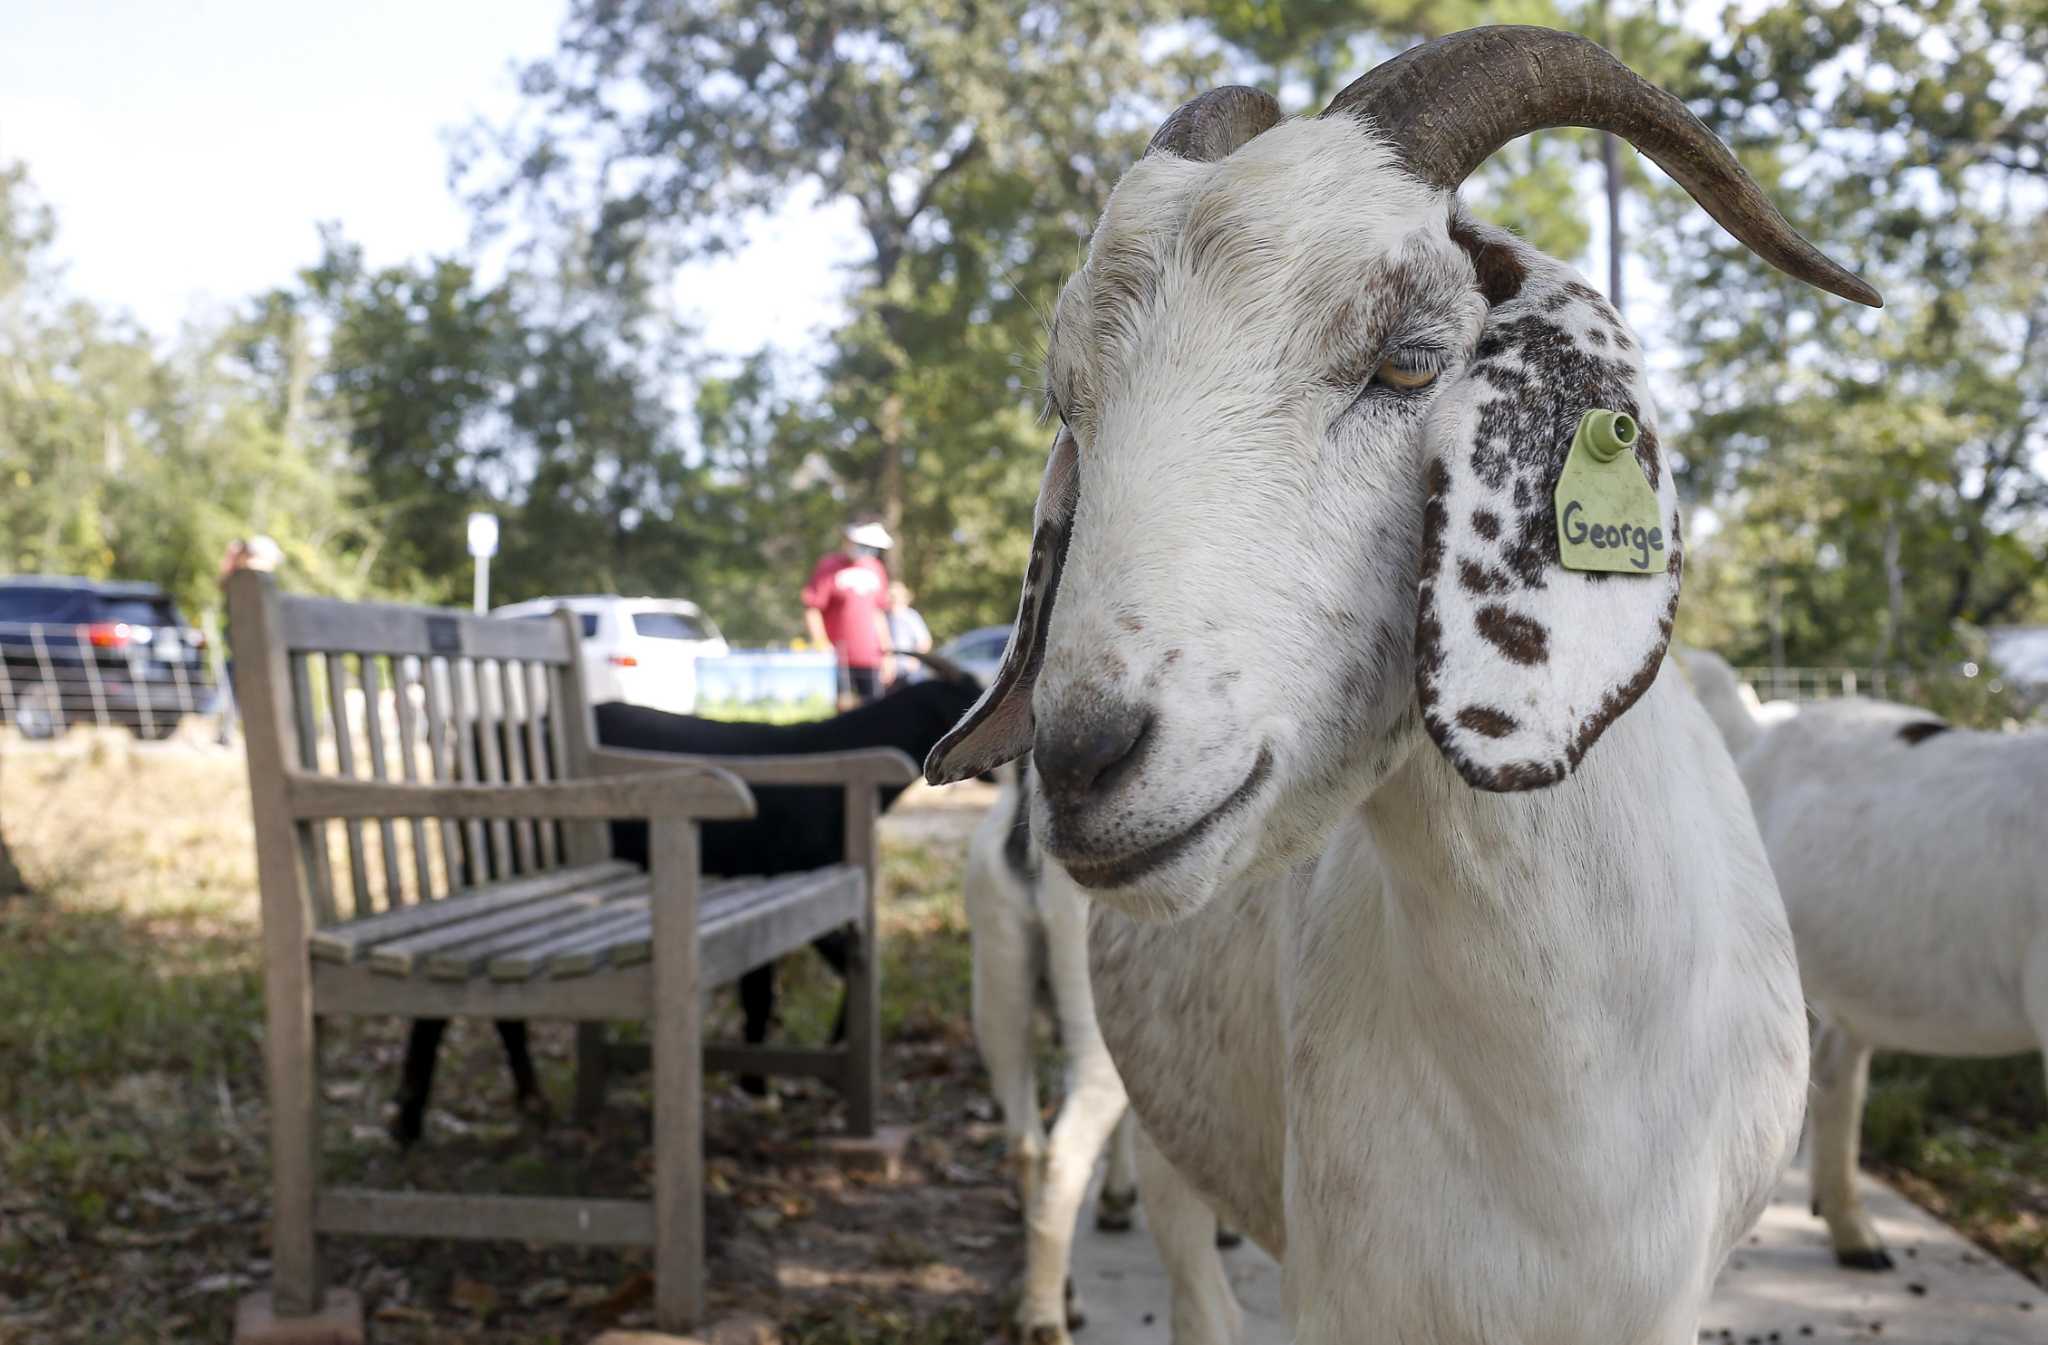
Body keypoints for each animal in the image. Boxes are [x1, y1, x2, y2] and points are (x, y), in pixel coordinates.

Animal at [391, 666, 982, 1144]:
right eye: (967, 696)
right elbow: (766, 992)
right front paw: (769, 1076)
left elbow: (781, 984)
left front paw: (774, 1072)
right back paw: (412, 1119)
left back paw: (526, 1096)